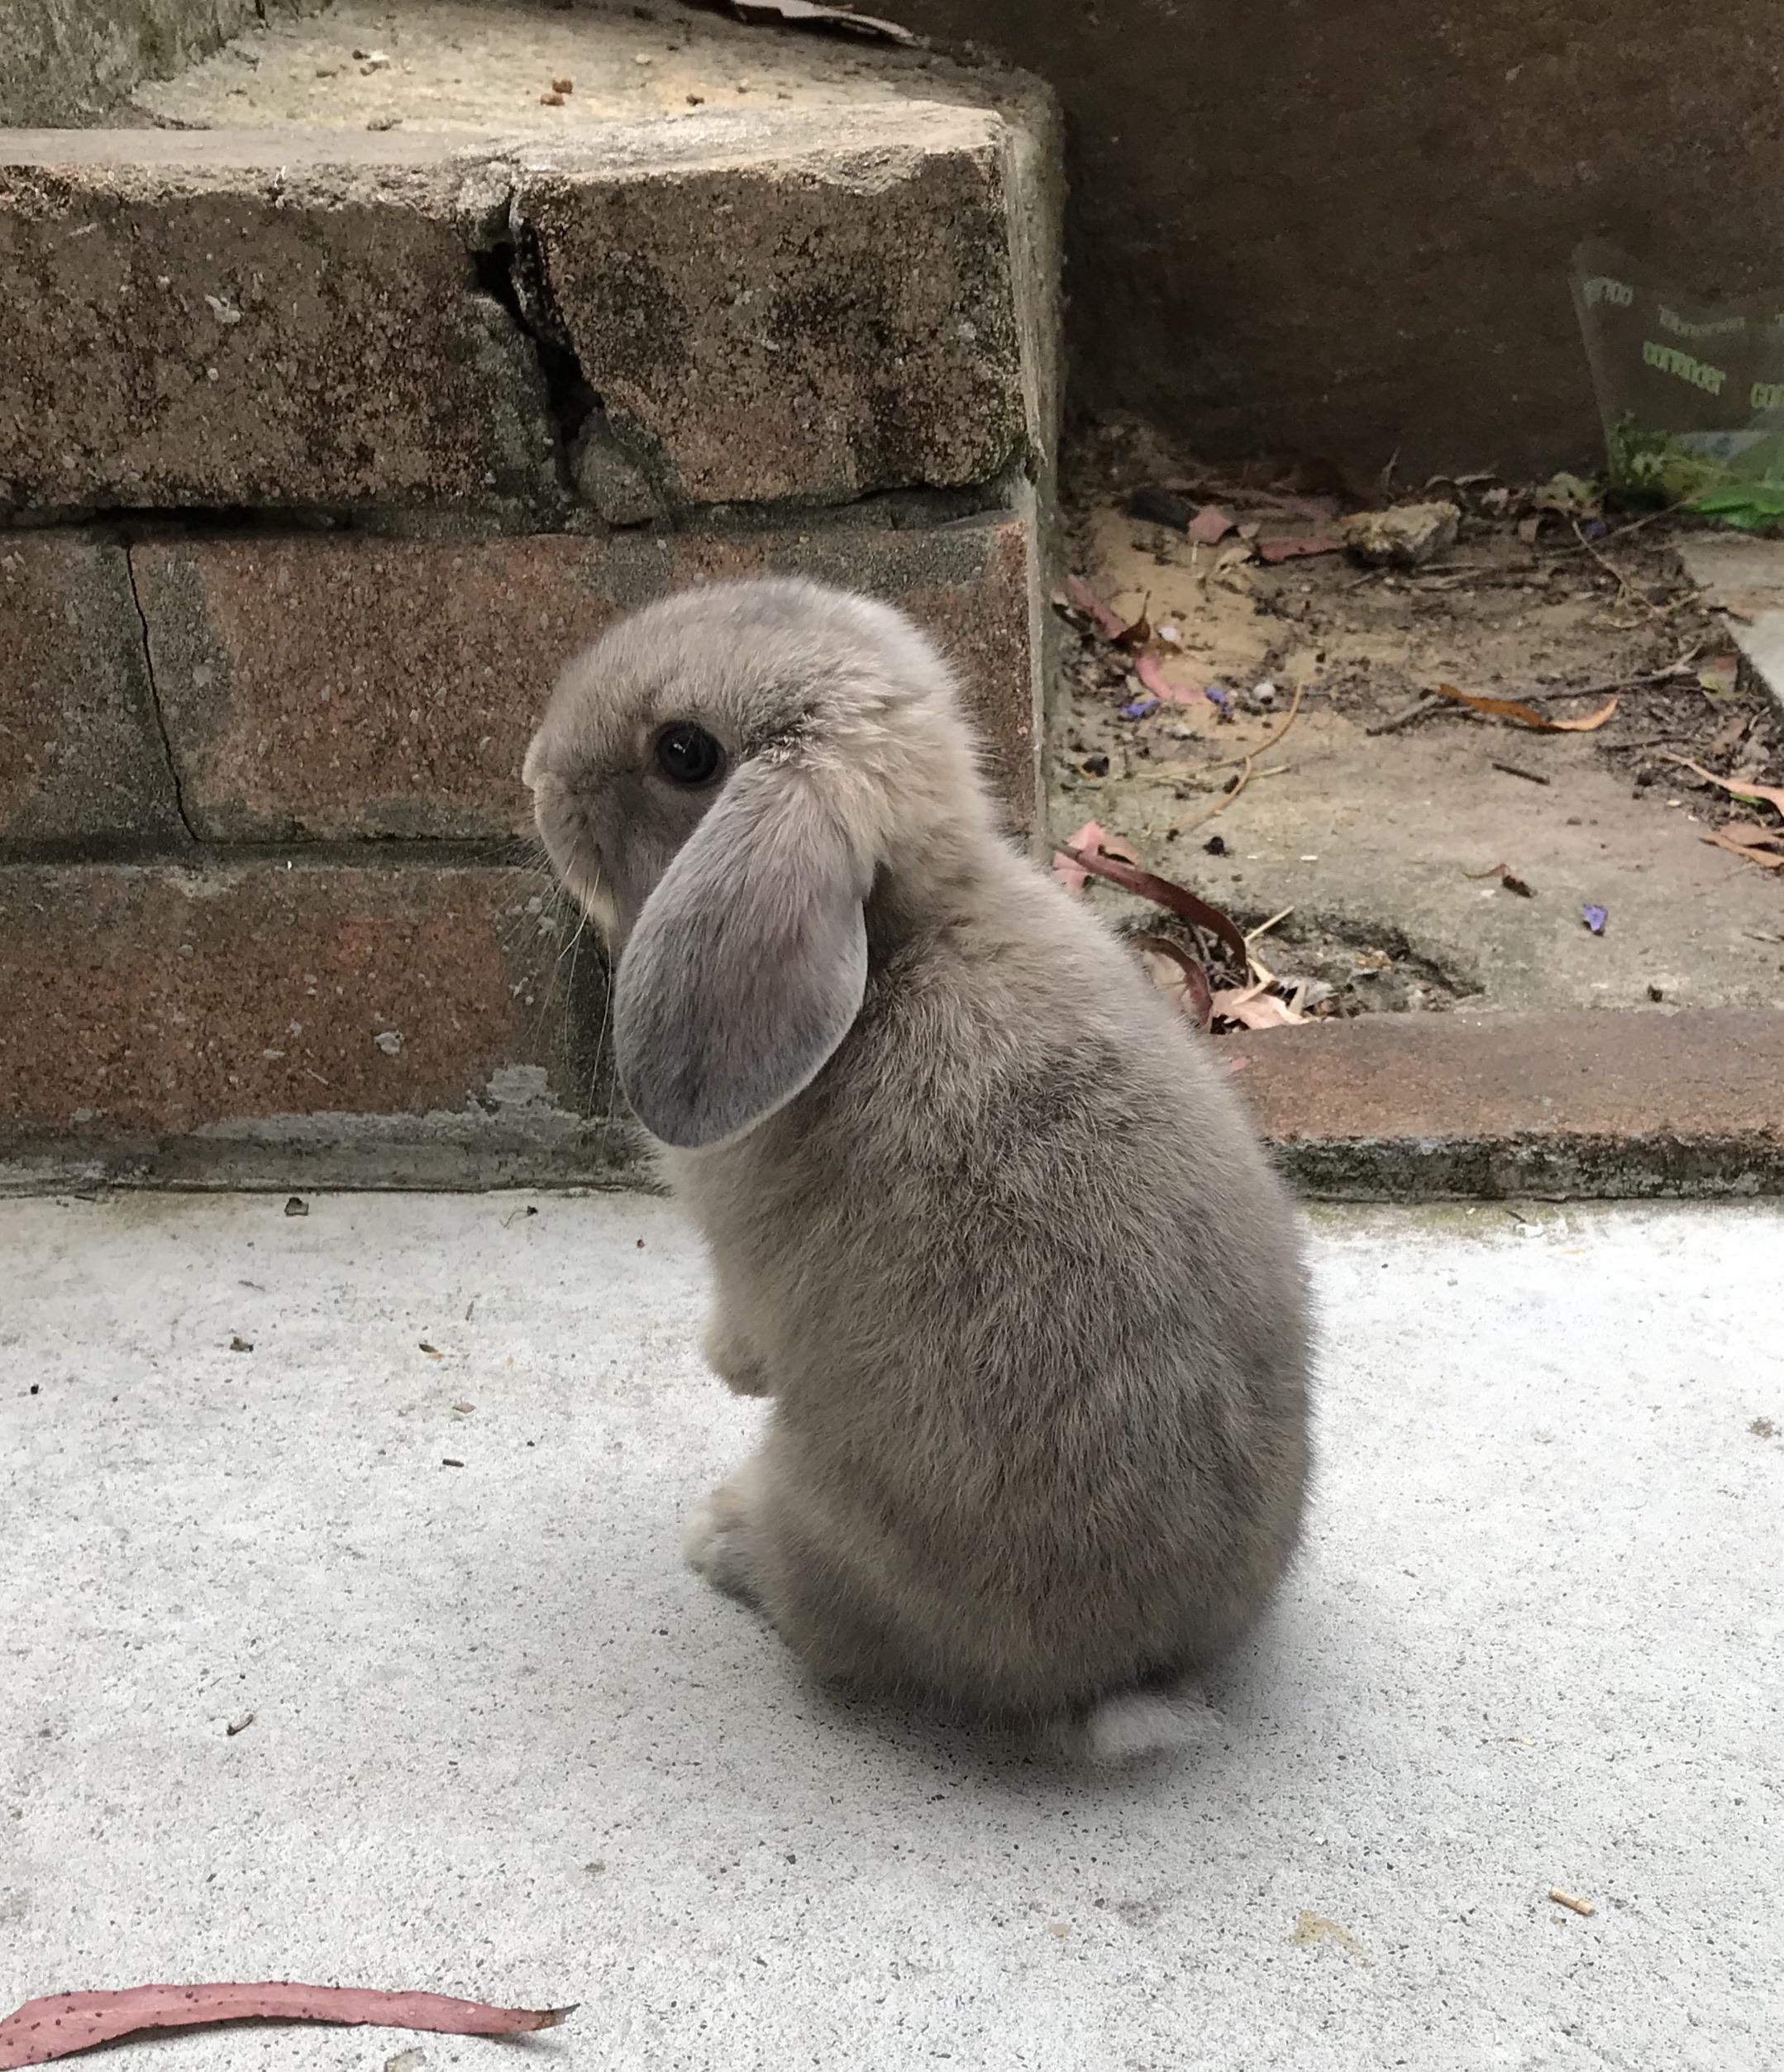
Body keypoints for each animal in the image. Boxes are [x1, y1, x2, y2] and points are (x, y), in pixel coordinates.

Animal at [524, 576, 1311, 1760]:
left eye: (684, 753)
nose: (534, 772)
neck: (902, 940)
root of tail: (1120, 1681)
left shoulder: (737, 1267)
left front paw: (728, 1371)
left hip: (822, 1520)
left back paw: (720, 1538)